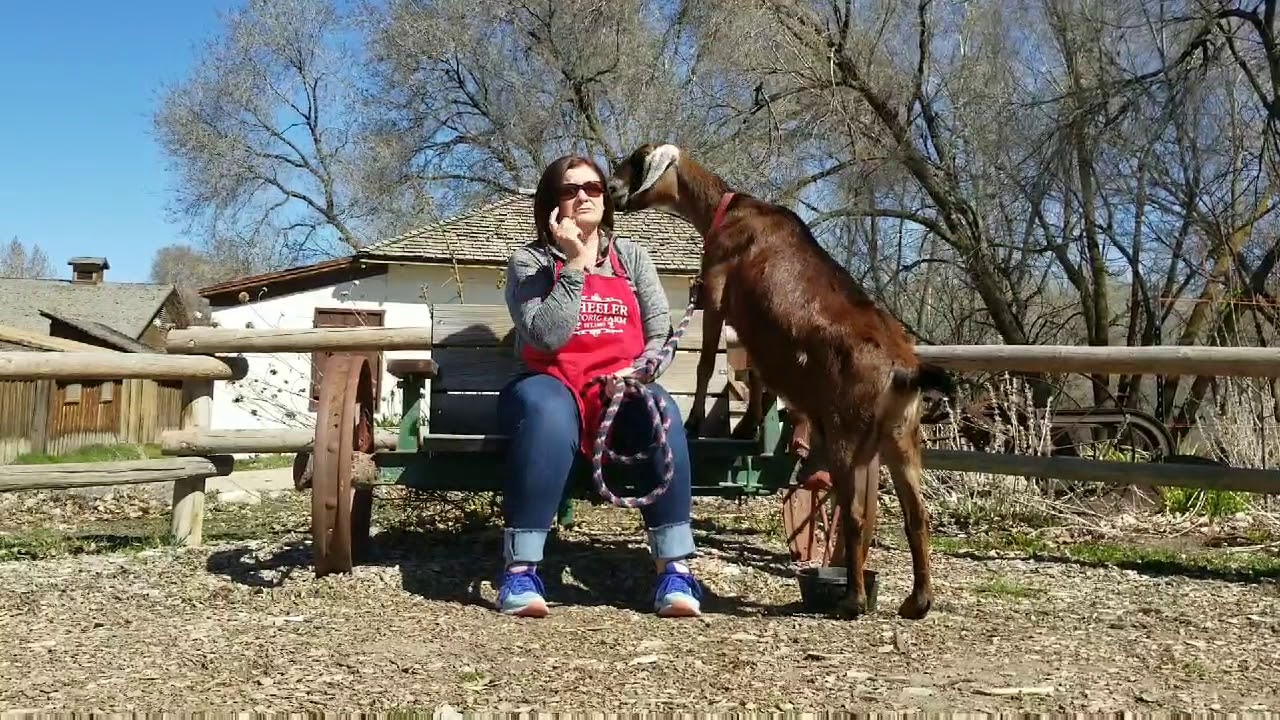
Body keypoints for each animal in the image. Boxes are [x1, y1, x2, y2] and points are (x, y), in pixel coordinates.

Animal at [607, 143, 954, 620]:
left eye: (635, 160)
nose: (610, 188)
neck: (729, 209)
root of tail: (903, 373)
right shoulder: (755, 329)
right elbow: (756, 376)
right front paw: (747, 425)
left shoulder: (715, 294)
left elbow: (707, 363)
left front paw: (698, 422)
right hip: (902, 440)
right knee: (915, 515)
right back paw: (917, 602)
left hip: (846, 437)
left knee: (856, 514)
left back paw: (852, 599)